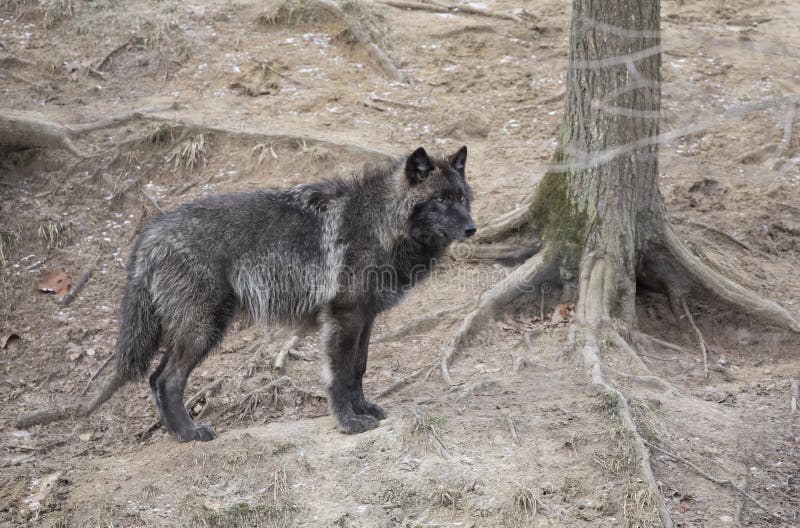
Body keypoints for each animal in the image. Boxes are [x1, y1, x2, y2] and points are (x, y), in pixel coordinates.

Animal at [98, 145, 474, 442]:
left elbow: (358, 369)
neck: (380, 222)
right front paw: (348, 422)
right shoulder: (343, 317)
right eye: (439, 199)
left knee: (155, 378)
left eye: (462, 198)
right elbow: (340, 374)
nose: (472, 228)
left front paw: (364, 409)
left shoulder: (364, 317)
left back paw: (176, 432)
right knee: (167, 380)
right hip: (203, 329)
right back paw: (190, 433)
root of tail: (150, 232)